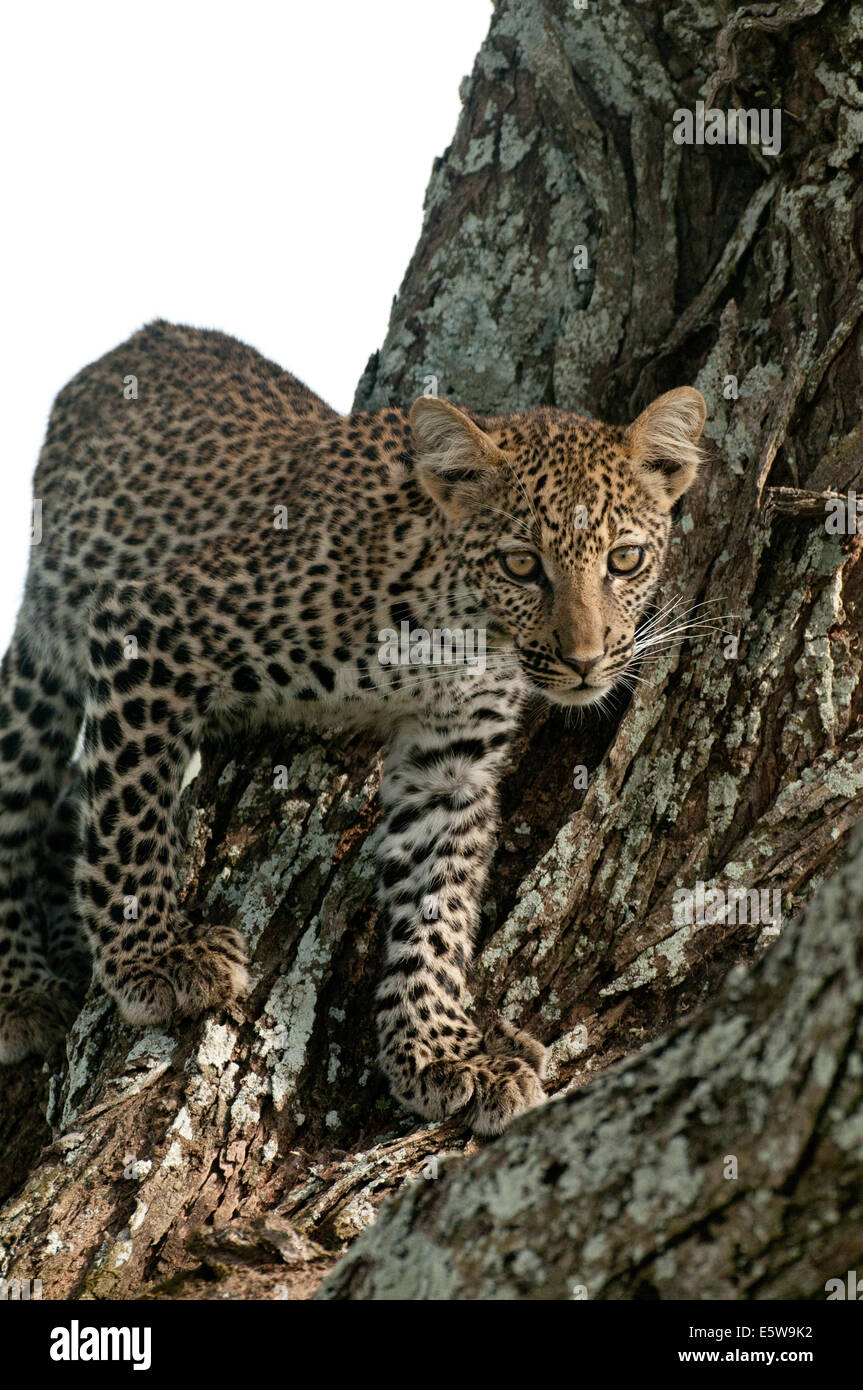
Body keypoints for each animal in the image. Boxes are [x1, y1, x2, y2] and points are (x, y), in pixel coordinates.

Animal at [0, 320, 705, 1135]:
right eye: (521, 565)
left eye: (626, 559)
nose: (586, 661)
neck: (457, 630)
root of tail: (140, 338)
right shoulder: (150, 629)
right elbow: (129, 816)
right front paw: (152, 958)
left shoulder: (450, 760)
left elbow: (436, 908)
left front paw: (441, 1051)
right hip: (49, 643)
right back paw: (21, 990)